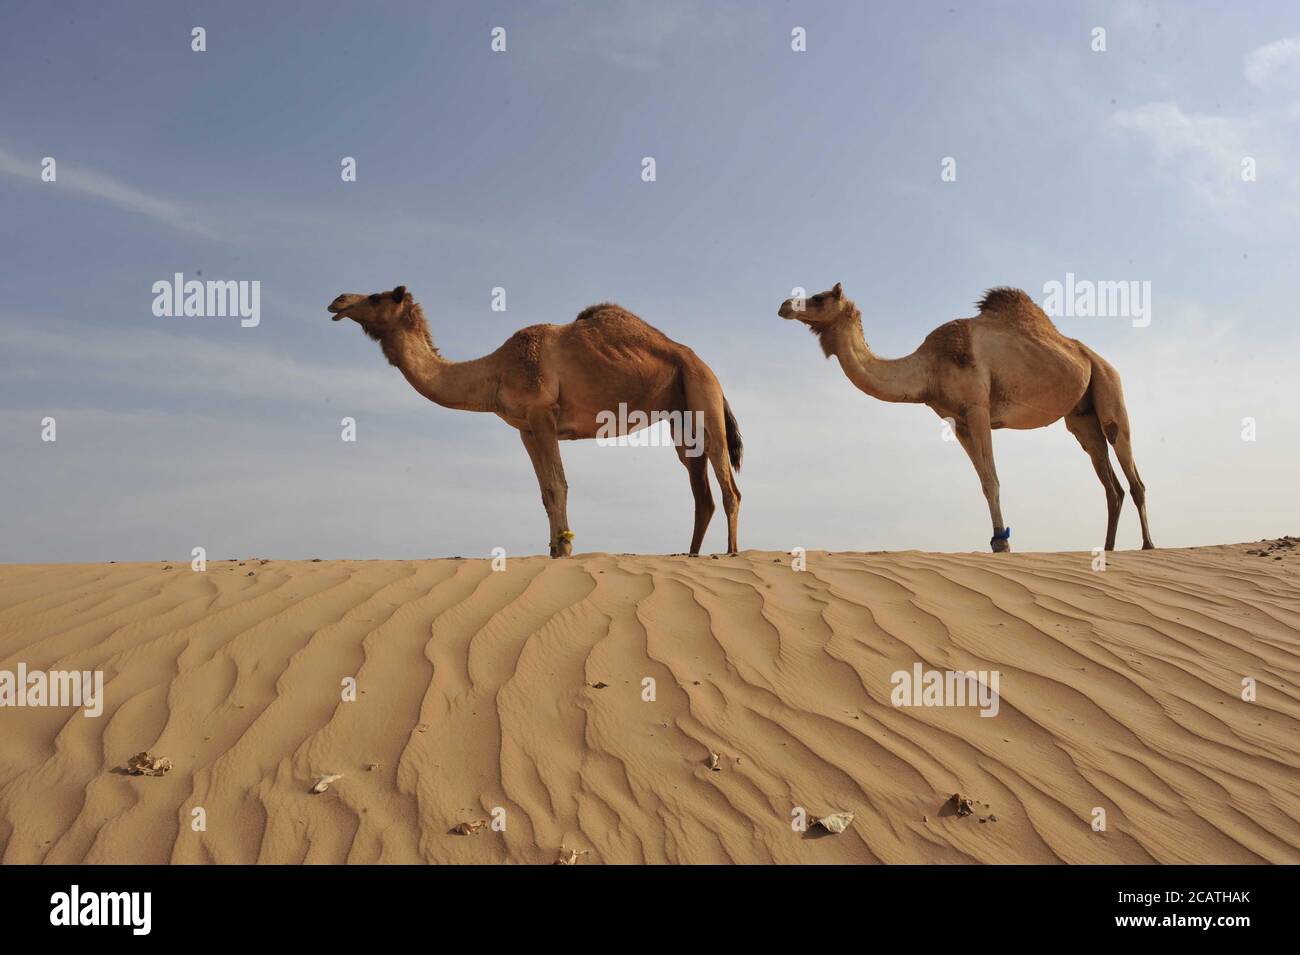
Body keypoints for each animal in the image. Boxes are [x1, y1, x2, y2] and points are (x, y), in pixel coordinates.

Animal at [328, 286, 743, 557]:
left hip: (703, 395)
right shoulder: (526, 428)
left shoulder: (543, 413)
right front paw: (554, 550)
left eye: (377, 296)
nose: (338, 300)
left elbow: (559, 485)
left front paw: (565, 553)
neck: (495, 372)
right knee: (700, 490)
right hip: (681, 417)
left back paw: (731, 552)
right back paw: (691, 555)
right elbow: (545, 492)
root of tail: (704, 365)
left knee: (727, 483)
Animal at [779, 284, 1153, 553]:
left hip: (1108, 386)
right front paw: (997, 539)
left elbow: (992, 480)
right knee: (1110, 481)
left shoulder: (977, 408)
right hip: (1081, 417)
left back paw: (1148, 545)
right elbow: (983, 481)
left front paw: (1002, 542)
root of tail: (1096, 358)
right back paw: (1109, 548)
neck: (928, 367)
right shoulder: (957, 421)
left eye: (819, 297)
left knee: (1130, 469)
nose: (784, 305)